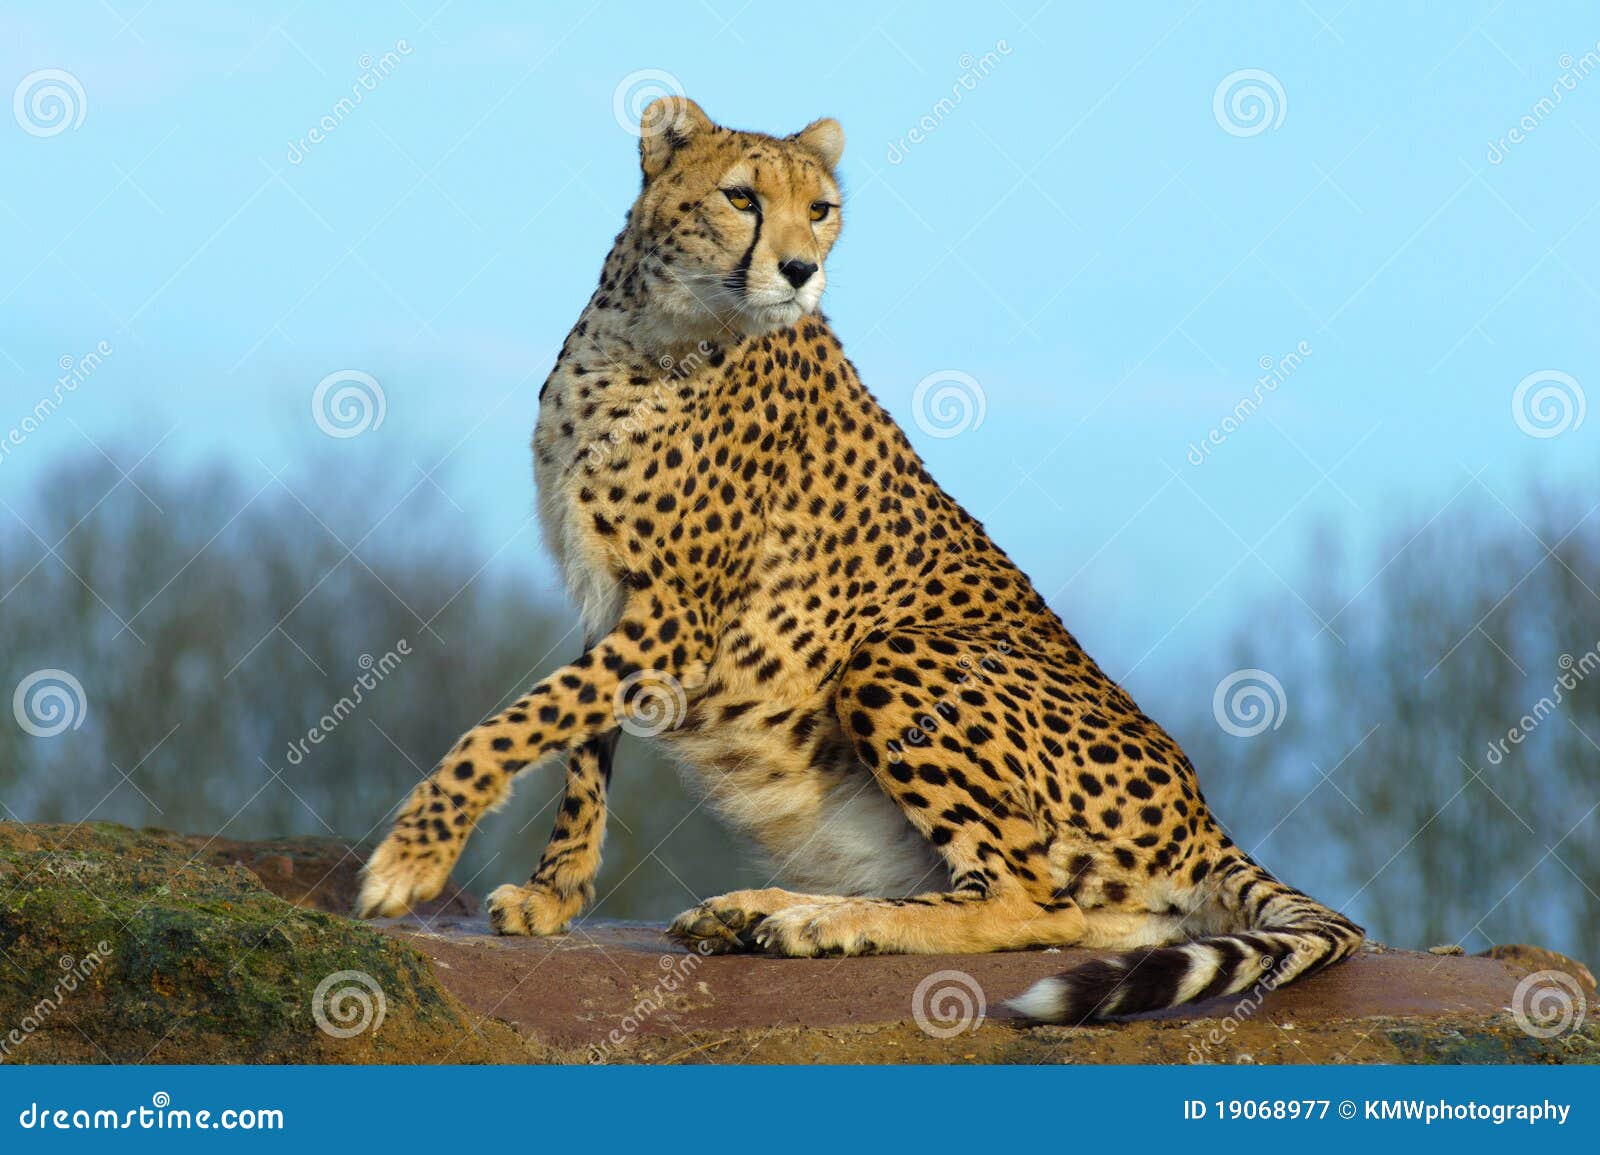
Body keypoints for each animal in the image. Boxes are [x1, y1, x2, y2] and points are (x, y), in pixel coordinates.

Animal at [355, 95, 1363, 1021]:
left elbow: (520, 721)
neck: (649, 331)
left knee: (1035, 902)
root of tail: (1202, 808)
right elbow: (579, 741)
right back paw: (756, 910)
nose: (801, 269)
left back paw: (817, 921)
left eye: (822, 209)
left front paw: (413, 854)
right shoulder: (614, 606)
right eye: (741, 198)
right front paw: (554, 891)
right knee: (1073, 909)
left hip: (895, 650)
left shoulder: (675, 623)